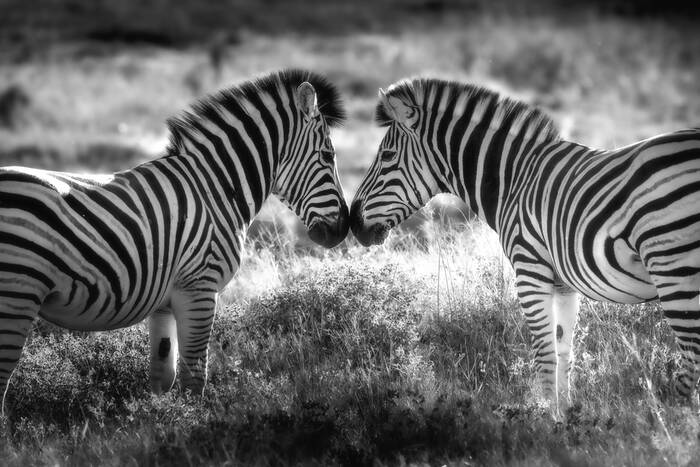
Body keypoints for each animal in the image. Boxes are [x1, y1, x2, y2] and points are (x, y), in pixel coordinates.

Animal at [0, 69, 349, 413]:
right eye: (328, 155)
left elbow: (162, 376)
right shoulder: (199, 287)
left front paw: (160, 421)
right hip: (18, 292)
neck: (216, 189)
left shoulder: (164, 303)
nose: (342, 230)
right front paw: (191, 424)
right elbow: (194, 378)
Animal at [350, 77, 700, 412]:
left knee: (690, 366)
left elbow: (545, 357)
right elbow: (564, 353)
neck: (514, 180)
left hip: (675, 267)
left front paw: (547, 421)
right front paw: (568, 418)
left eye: (387, 156)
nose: (353, 222)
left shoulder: (530, 270)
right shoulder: (563, 283)